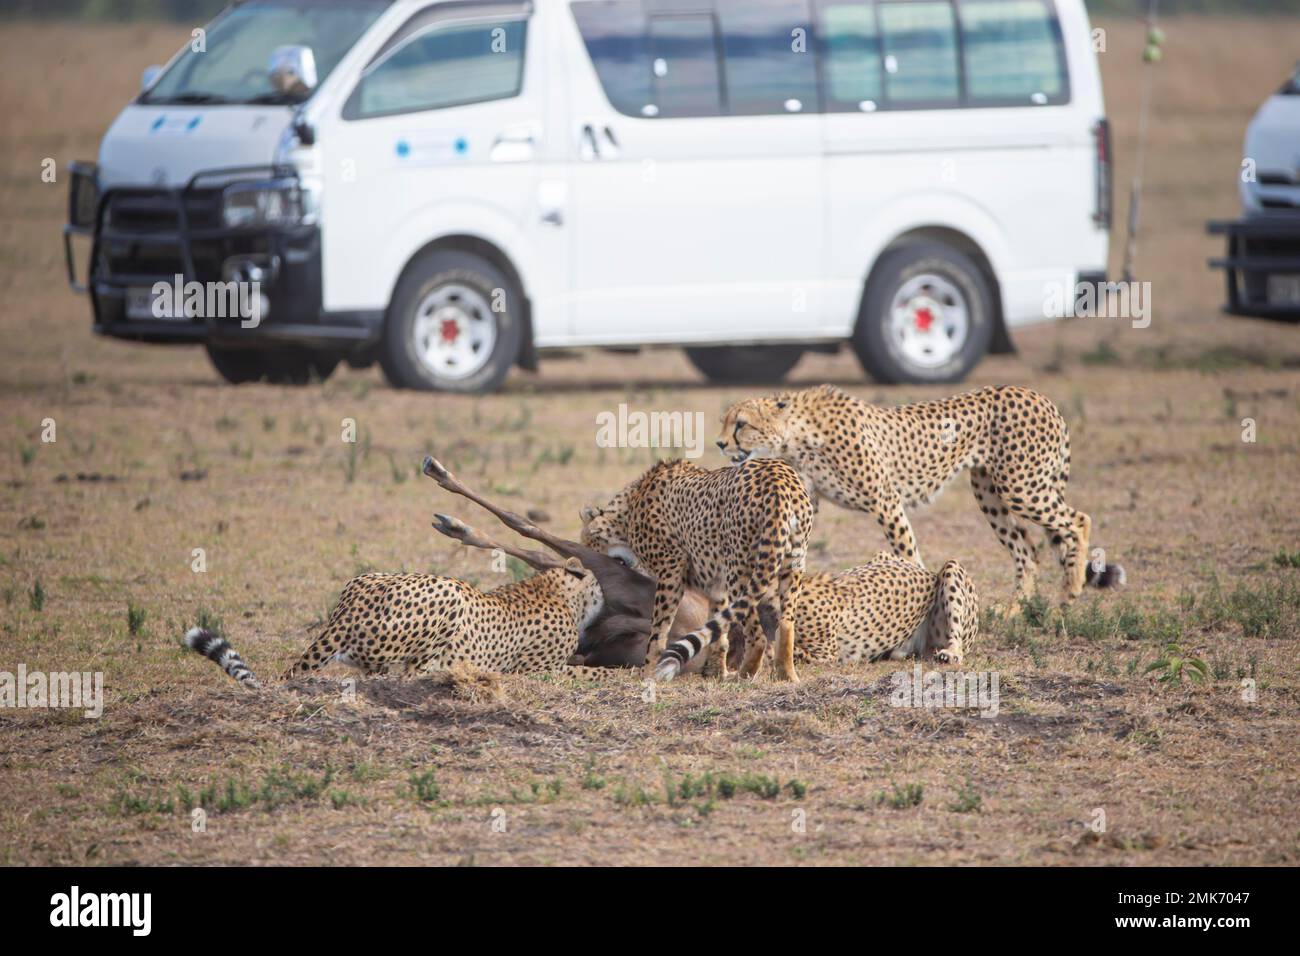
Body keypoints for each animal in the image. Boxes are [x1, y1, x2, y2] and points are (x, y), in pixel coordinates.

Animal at [580, 457, 813, 683]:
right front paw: (717, 673)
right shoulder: (716, 586)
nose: (587, 559)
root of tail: (779, 477)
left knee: (757, 634)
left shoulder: (671, 567)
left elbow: (659, 629)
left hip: (741, 572)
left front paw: (648, 671)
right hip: (792, 564)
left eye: (588, 542)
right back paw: (786, 675)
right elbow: (718, 632)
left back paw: (744, 675)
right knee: (785, 623)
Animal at [717, 384, 1120, 609]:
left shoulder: (885, 501)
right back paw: (1015, 610)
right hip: (989, 493)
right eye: (724, 421)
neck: (798, 434)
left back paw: (1070, 591)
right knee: (1026, 550)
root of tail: (1038, 395)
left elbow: (908, 552)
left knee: (1078, 520)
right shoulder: (810, 503)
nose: (720, 444)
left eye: (741, 424)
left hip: (1020, 486)